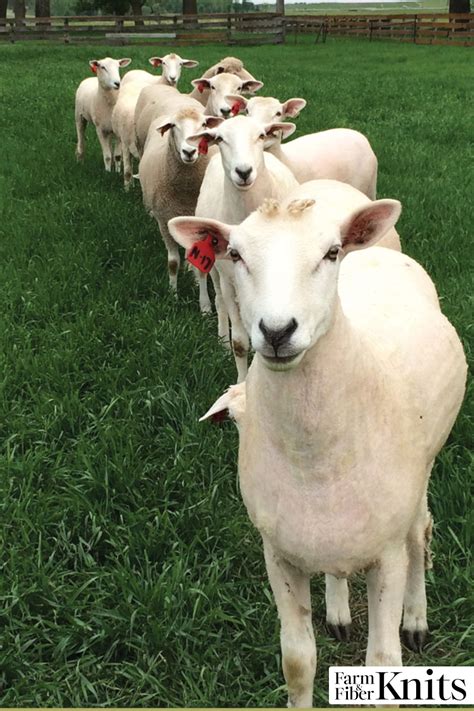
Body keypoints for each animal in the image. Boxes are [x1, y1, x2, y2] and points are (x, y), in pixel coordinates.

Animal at [138, 99, 223, 312]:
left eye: (203, 125)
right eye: (174, 126)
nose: (189, 152)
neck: (185, 195)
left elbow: (202, 268)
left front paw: (205, 305)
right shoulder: (164, 221)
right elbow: (173, 262)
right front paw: (173, 296)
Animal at [169, 179, 467, 707]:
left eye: (330, 253)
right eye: (235, 255)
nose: (276, 331)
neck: (313, 459)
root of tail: (377, 254)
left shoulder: (386, 555)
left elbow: (382, 663)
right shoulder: (279, 553)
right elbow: (297, 661)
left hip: (424, 472)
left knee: (421, 533)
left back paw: (415, 619)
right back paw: (338, 610)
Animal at [182, 115, 298, 382]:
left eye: (261, 135)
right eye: (220, 139)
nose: (243, 172)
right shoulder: (229, 279)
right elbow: (240, 343)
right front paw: (242, 382)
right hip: (217, 269)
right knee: (218, 299)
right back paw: (221, 336)